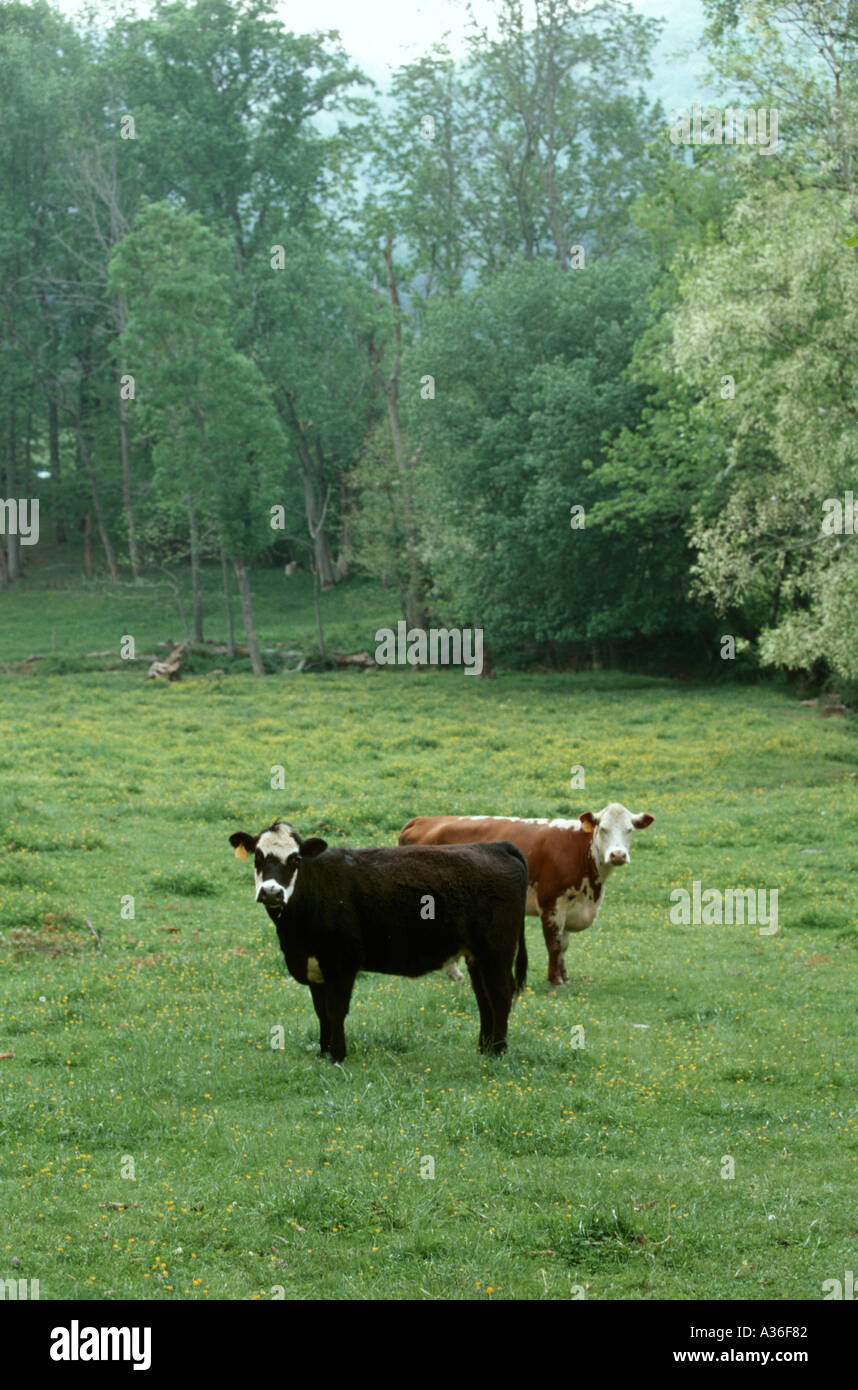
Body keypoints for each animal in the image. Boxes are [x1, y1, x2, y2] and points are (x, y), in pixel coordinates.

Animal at [228, 820, 528, 1061]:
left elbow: (336, 1010)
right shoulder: (315, 968)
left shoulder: (342, 964)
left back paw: (498, 1051)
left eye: (295, 859)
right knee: (484, 997)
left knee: (500, 993)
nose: (271, 892)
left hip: (497, 949)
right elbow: (321, 1011)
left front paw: (337, 1055)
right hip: (478, 955)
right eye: (258, 856)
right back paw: (484, 1049)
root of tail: (496, 846)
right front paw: (323, 1053)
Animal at [399, 803, 654, 987]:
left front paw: (565, 977)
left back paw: (454, 974)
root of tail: (423, 820)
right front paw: (555, 981)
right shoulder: (551, 902)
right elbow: (554, 943)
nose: (618, 855)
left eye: (629, 830)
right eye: (603, 829)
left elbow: (564, 945)